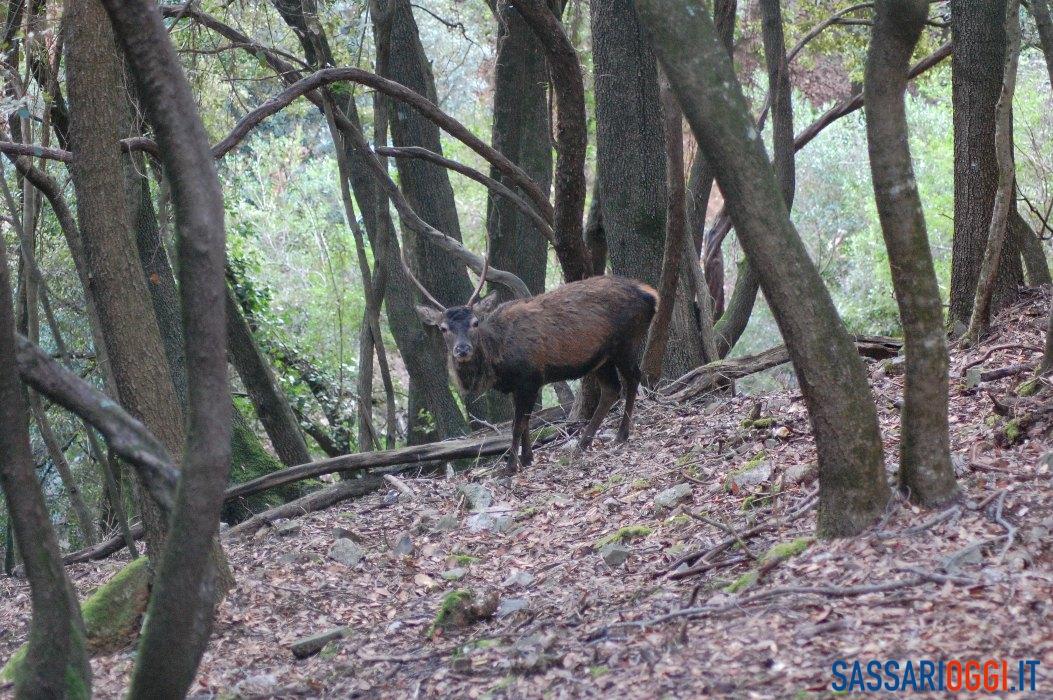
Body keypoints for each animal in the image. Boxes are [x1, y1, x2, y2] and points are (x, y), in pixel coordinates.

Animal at [406, 251, 657, 472]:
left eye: (475, 323)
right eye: (443, 328)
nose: (462, 350)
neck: (497, 362)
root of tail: (651, 294)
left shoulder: (530, 376)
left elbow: (518, 424)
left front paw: (509, 467)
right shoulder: (519, 385)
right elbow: (525, 421)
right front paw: (527, 459)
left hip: (625, 343)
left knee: (634, 377)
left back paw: (621, 434)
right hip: (601, 358)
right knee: (612, 388)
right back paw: (584, 442)